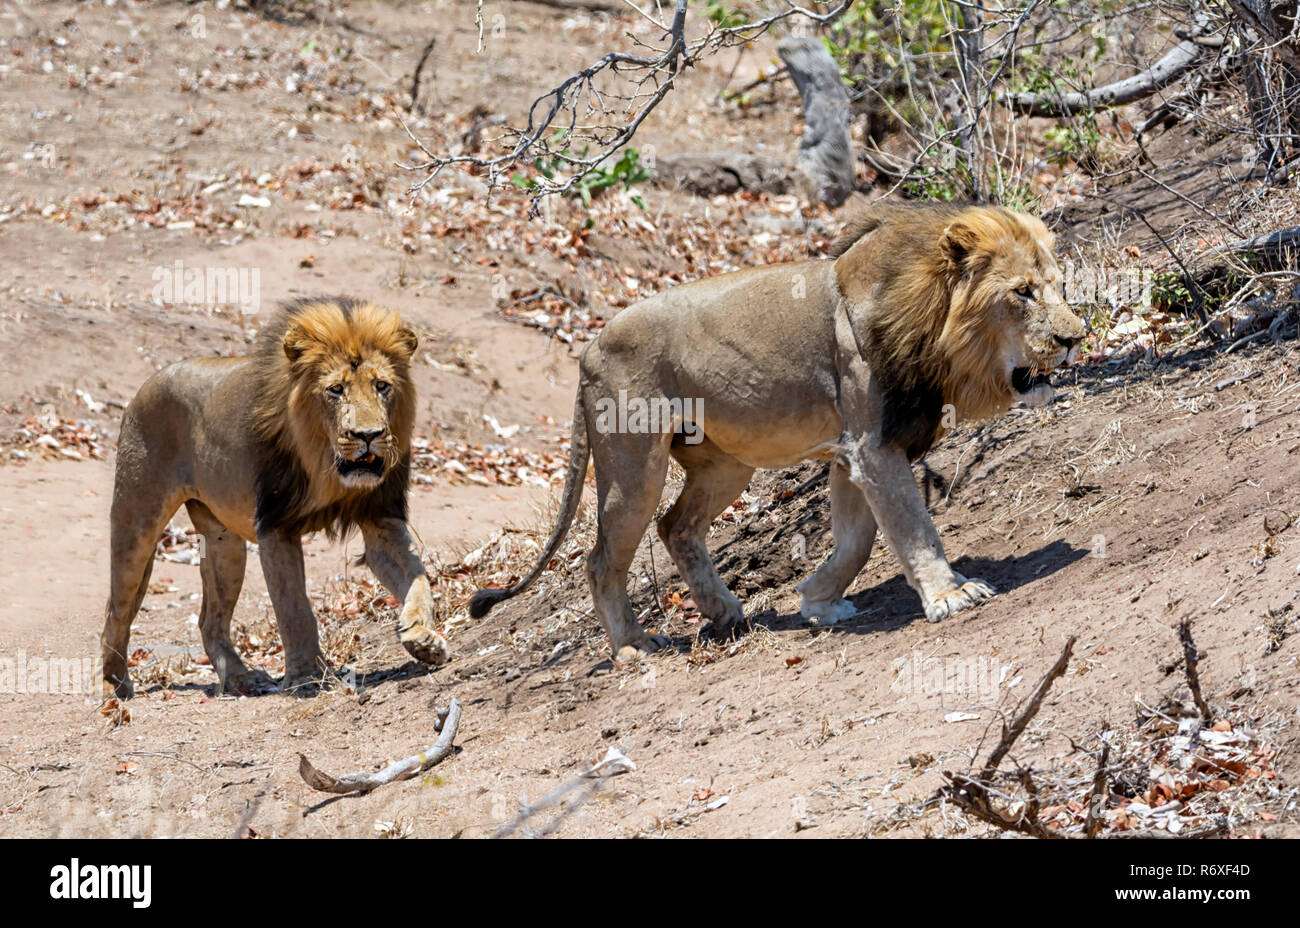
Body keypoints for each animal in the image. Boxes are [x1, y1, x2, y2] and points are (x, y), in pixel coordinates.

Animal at [101, 298, 449, 698]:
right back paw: (114, 685)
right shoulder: (275, 524)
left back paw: (240, 678)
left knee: (209, 620)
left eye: (382, 386)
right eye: (336, 390)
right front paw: (307, 676)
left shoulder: (381, 518)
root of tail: (146, 385)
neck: (327, 466)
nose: (368, 435)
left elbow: (418, 580)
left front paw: (422, 639)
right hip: (136, 522)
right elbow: (294, 608)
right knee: (116, 611)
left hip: (224, 544)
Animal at [469, 203, 1087, 661]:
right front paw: (950, 594)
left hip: (725, 465)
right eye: (1022, 292)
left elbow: (858, 539)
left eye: (1057, 285)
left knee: (675, 527)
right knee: (602, 559)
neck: (929, 323)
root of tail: (588, 349)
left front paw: (817, 600)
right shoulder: (872, 447)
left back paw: (724, 612)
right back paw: (634, 647)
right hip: (634, 469)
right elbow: (913, 528)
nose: (1075, 337)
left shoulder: (851, 454)